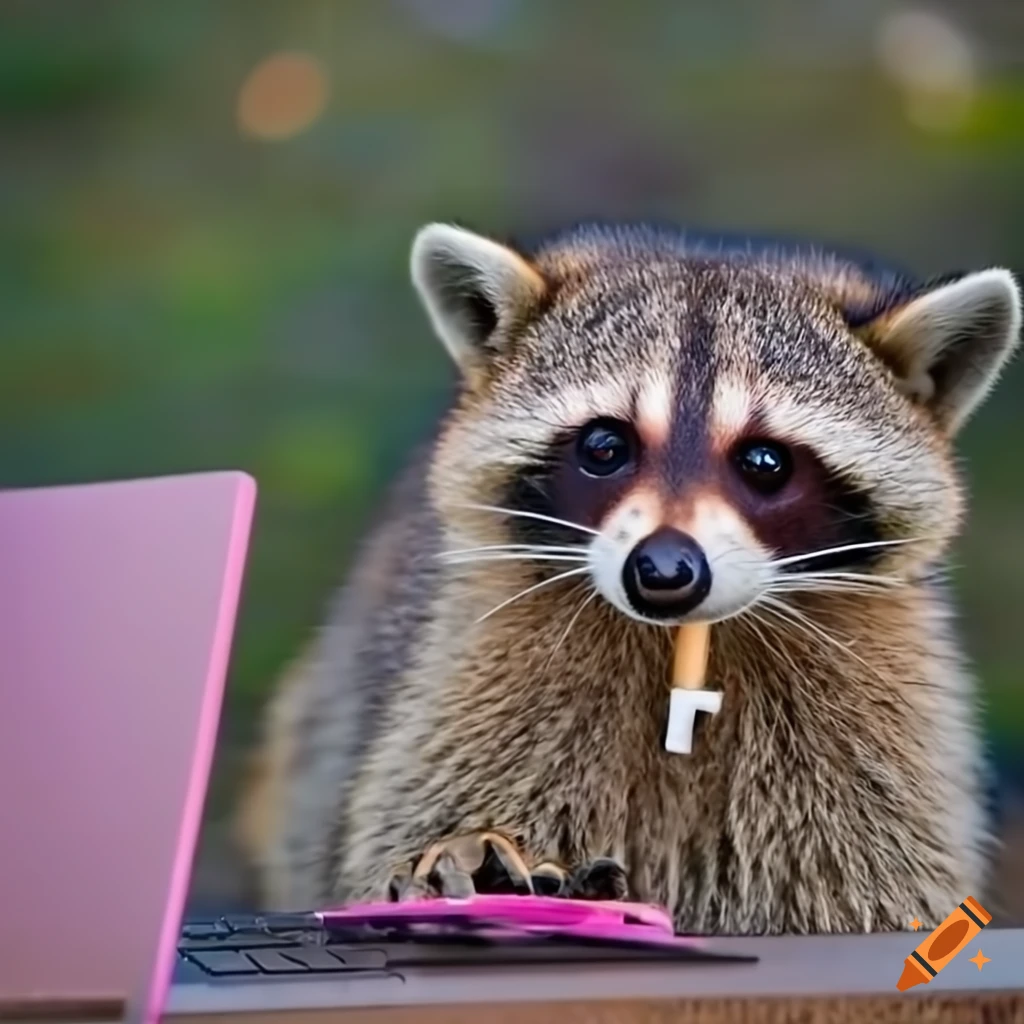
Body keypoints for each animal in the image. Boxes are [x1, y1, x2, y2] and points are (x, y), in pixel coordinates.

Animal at [236, 221, 1021, 934]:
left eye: (765, 462)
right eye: (604, 446)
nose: (664, 570)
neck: (686, 654)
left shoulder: (869, 758)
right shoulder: (470, 706)